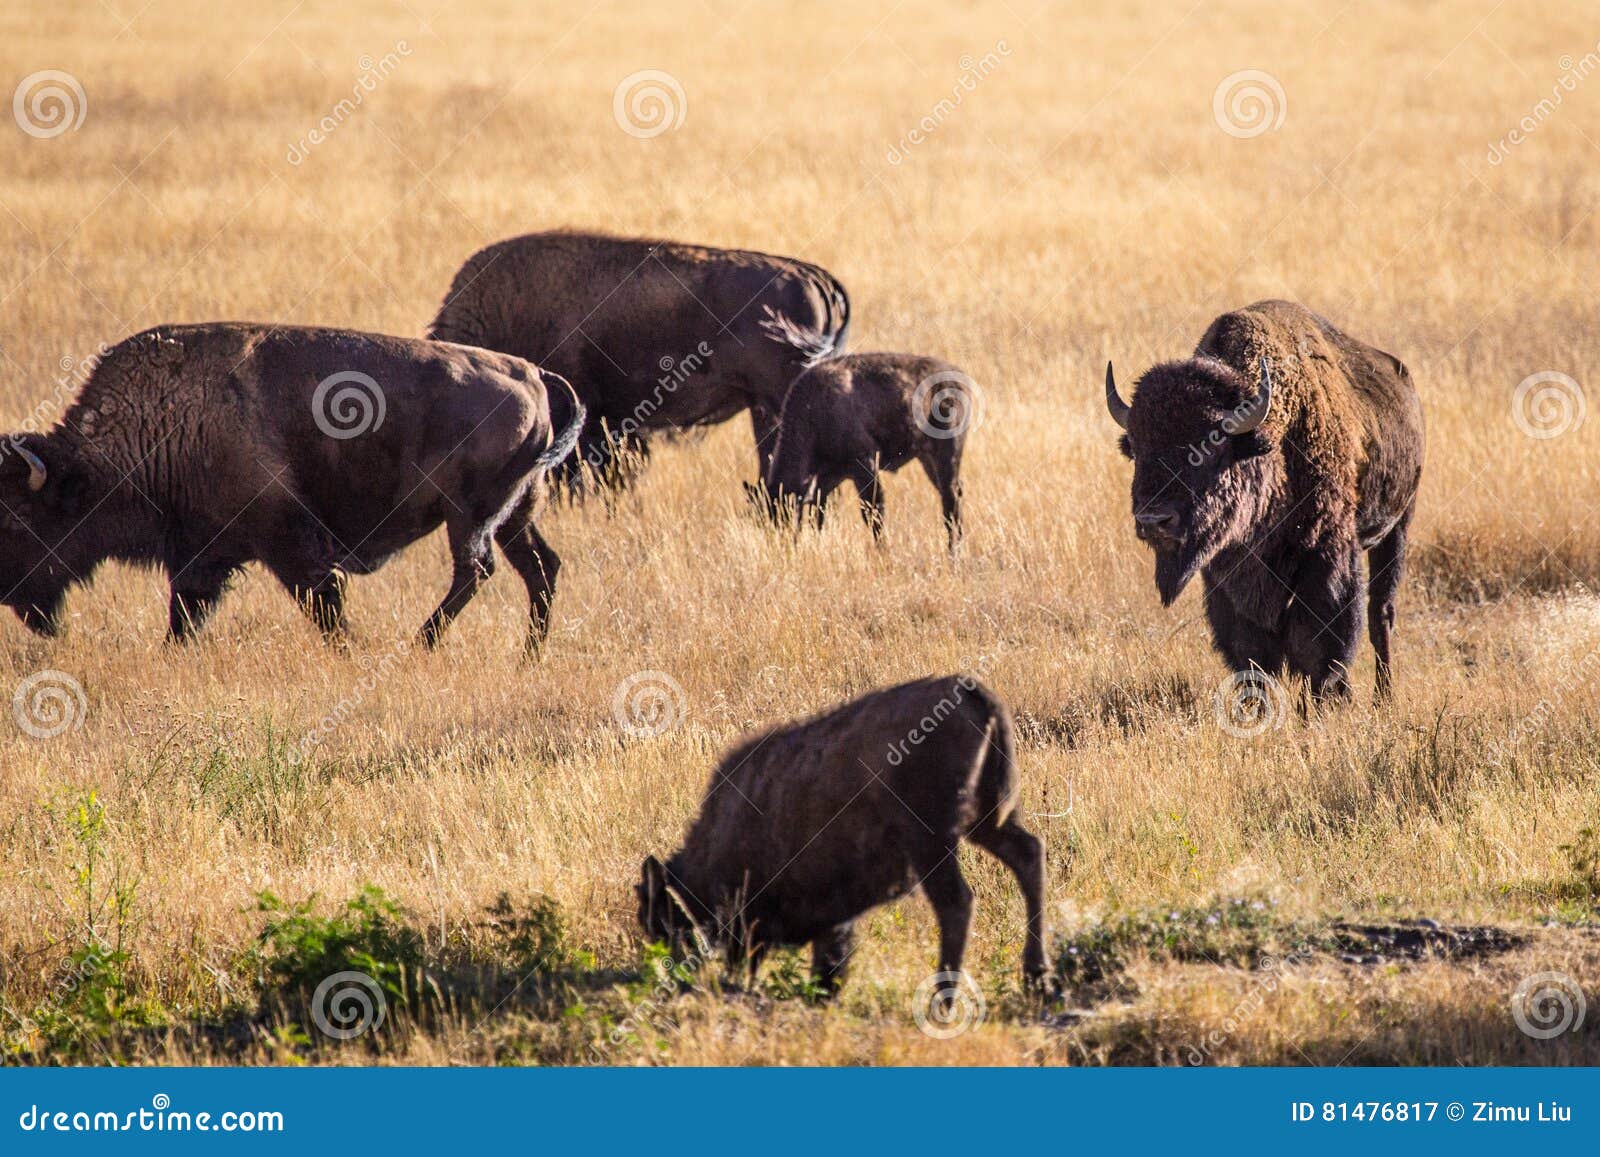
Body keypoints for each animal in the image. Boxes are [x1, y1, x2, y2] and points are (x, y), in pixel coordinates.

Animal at [0, 324, 583, 650]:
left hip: (471, 516)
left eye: (20, 518)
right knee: (540, 568)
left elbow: (322, 601)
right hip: (516, 514)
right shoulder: (199, 553)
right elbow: (185, 615)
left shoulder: (285, 542)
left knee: (476, 570)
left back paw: (423, 644)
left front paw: (351, 650)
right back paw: (528, 655)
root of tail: (530, 373)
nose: (9, 596)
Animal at [637, 674, 1046, 995]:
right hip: (986, 822)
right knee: (1028, 856)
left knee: (957, 903)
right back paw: (1036, 977)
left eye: (663, 921)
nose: (672, 974)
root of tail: (971, 691)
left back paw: (942, 998)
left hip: (933, 841)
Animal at [1105, 300, 1424, 700]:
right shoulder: (1227, 578)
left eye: (1212, 445)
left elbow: (1318, 645)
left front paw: (1324, 704)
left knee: (1380, 611)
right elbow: (1252, 653)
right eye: (1135, 448)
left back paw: (1384, 697)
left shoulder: (1326, 558)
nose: (1154, 521)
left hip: (1398, 525)